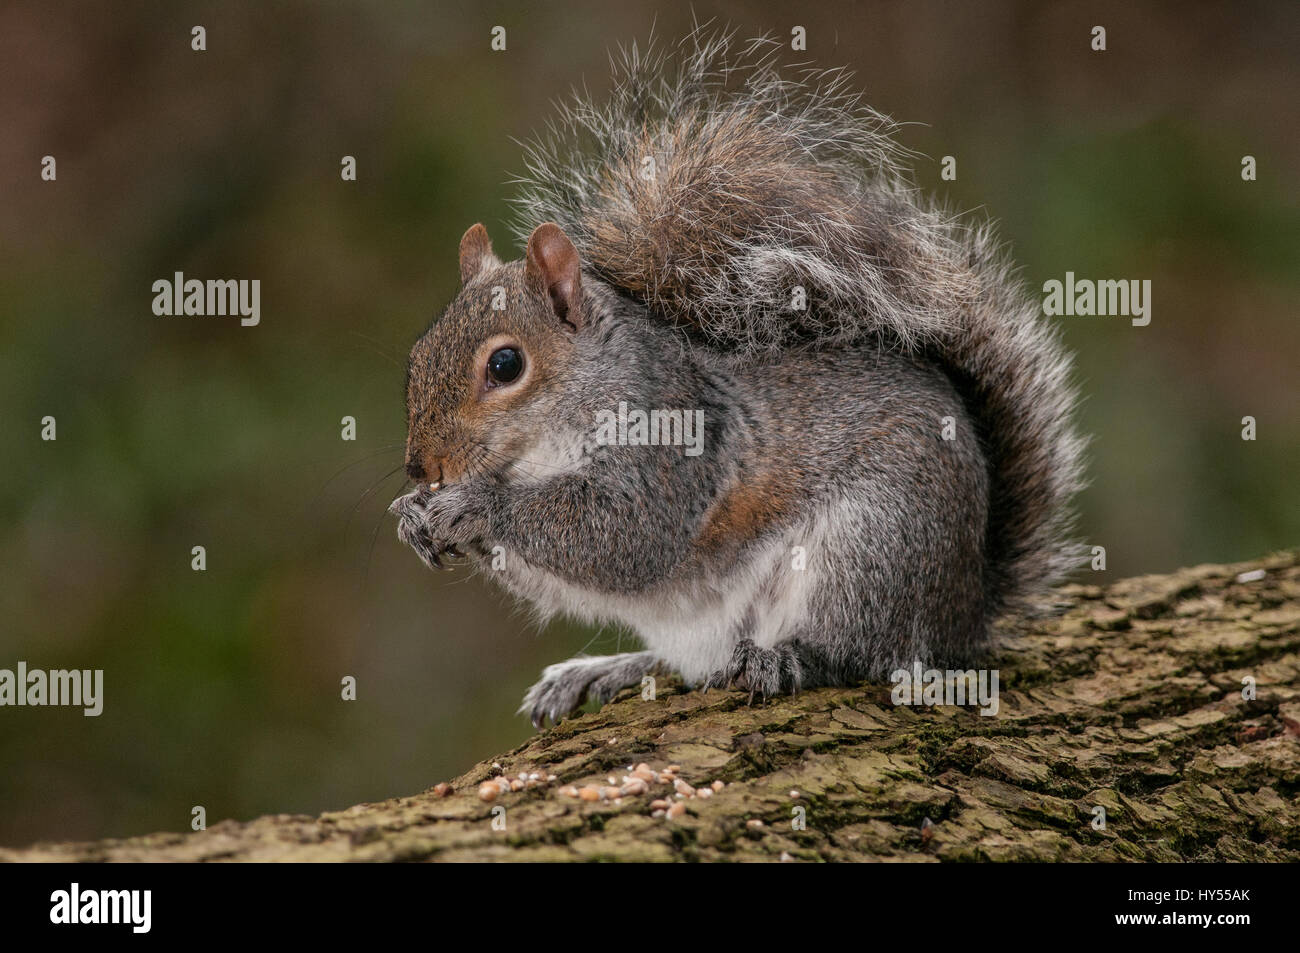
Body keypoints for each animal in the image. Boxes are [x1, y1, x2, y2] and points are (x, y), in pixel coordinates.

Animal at [391, 30, 1086, 729]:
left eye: (505, 365)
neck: (542, 445)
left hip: (873, 548)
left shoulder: (671, 449)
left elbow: (620, 536)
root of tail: (966, 609)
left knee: (863, 653)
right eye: (416, 356)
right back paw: (605, 669)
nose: (423, 468)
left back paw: (787, 659)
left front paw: (471, 505)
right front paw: (412, 516)